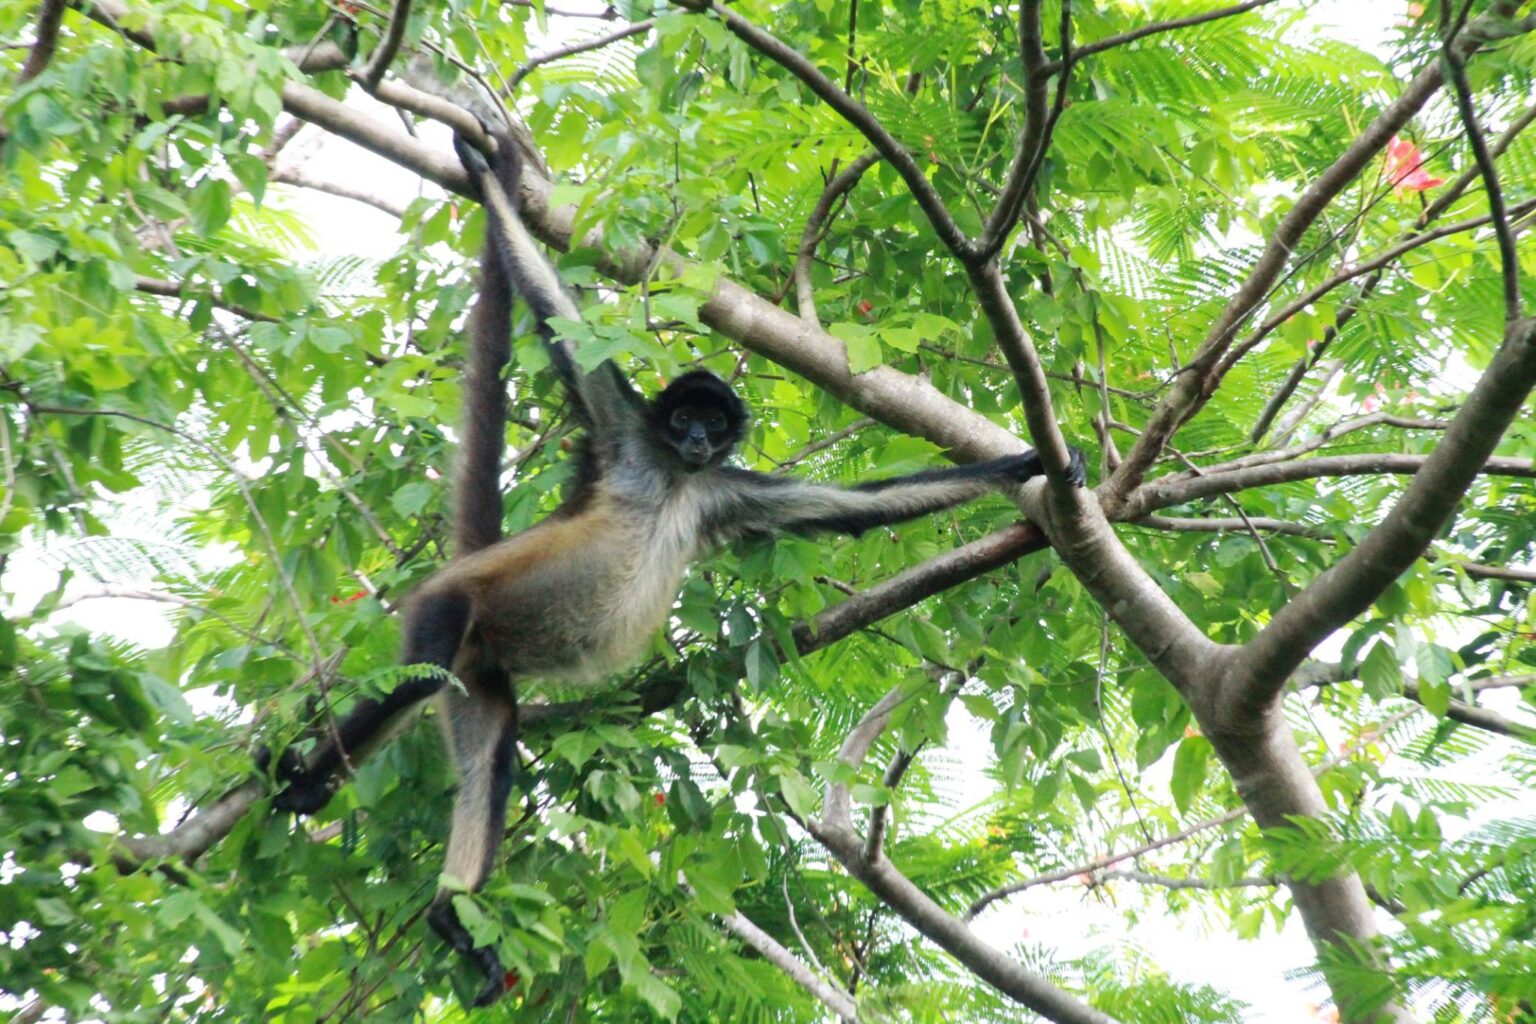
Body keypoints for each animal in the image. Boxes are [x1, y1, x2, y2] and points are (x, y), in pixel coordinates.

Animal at [265, 127, 1087, 1007]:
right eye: (685, 414)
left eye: (713, 424)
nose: (695, 437)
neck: (672, 480)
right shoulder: (626, 432)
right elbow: (553, 310)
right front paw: (491, 175)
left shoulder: (721, 492)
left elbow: (848, 509)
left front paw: (1027, 465)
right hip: (446, 609)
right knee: (418, 681)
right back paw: (308, 784)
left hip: (481, 675)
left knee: (492, 751)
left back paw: (451, 915)